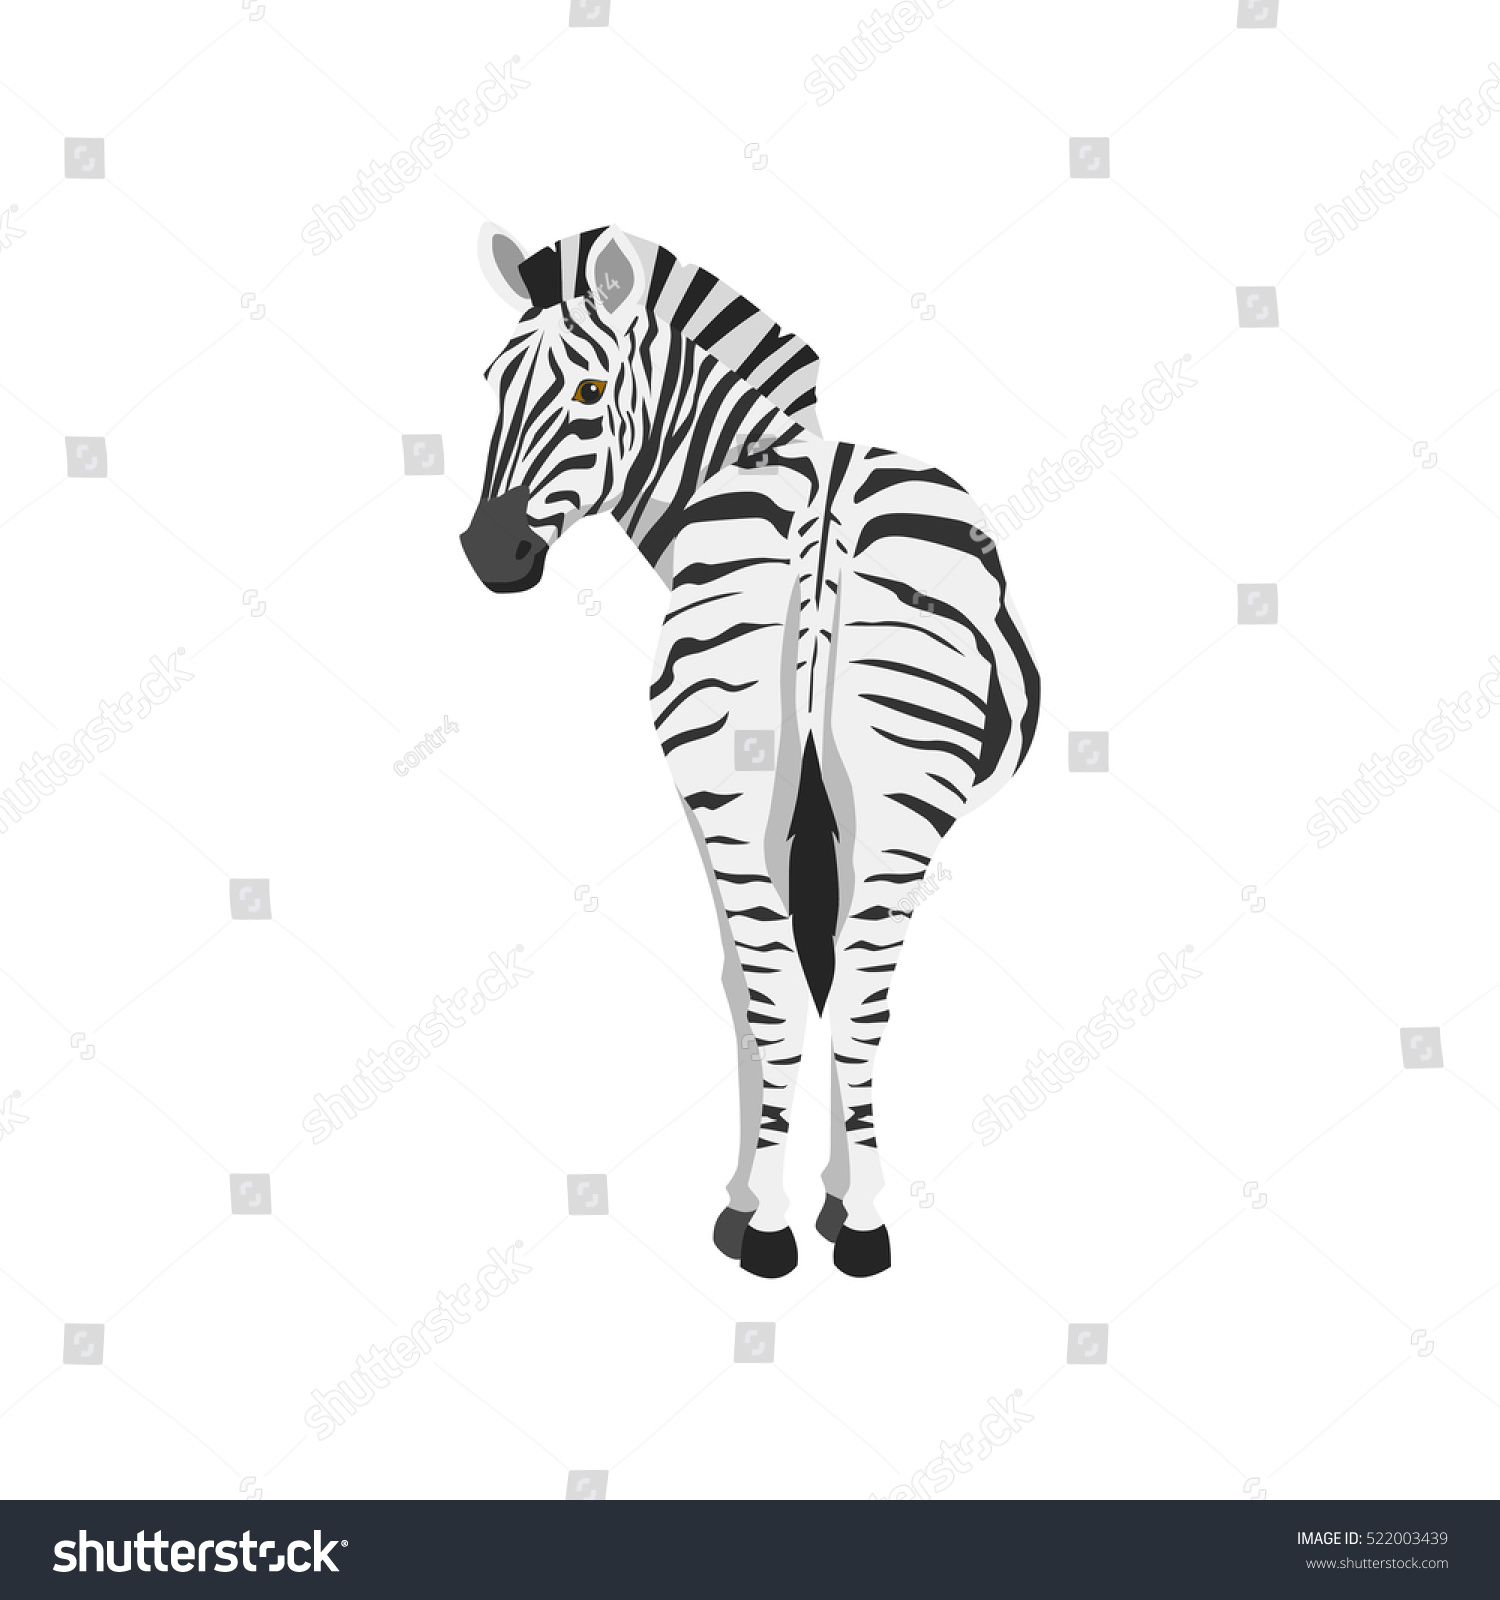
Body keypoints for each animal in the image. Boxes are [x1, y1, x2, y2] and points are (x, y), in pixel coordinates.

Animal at [460, 224, 1040, 1277]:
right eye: (491, 383)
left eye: (588, 391)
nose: (490, 552)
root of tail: (826, 505)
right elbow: (791, 977)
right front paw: (810, 1194)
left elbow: (770, 977)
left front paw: (796, 1193)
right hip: (882, 788)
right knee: (845, 992)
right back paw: (825, 1225)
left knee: (809, 989)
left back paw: (791, 1222)